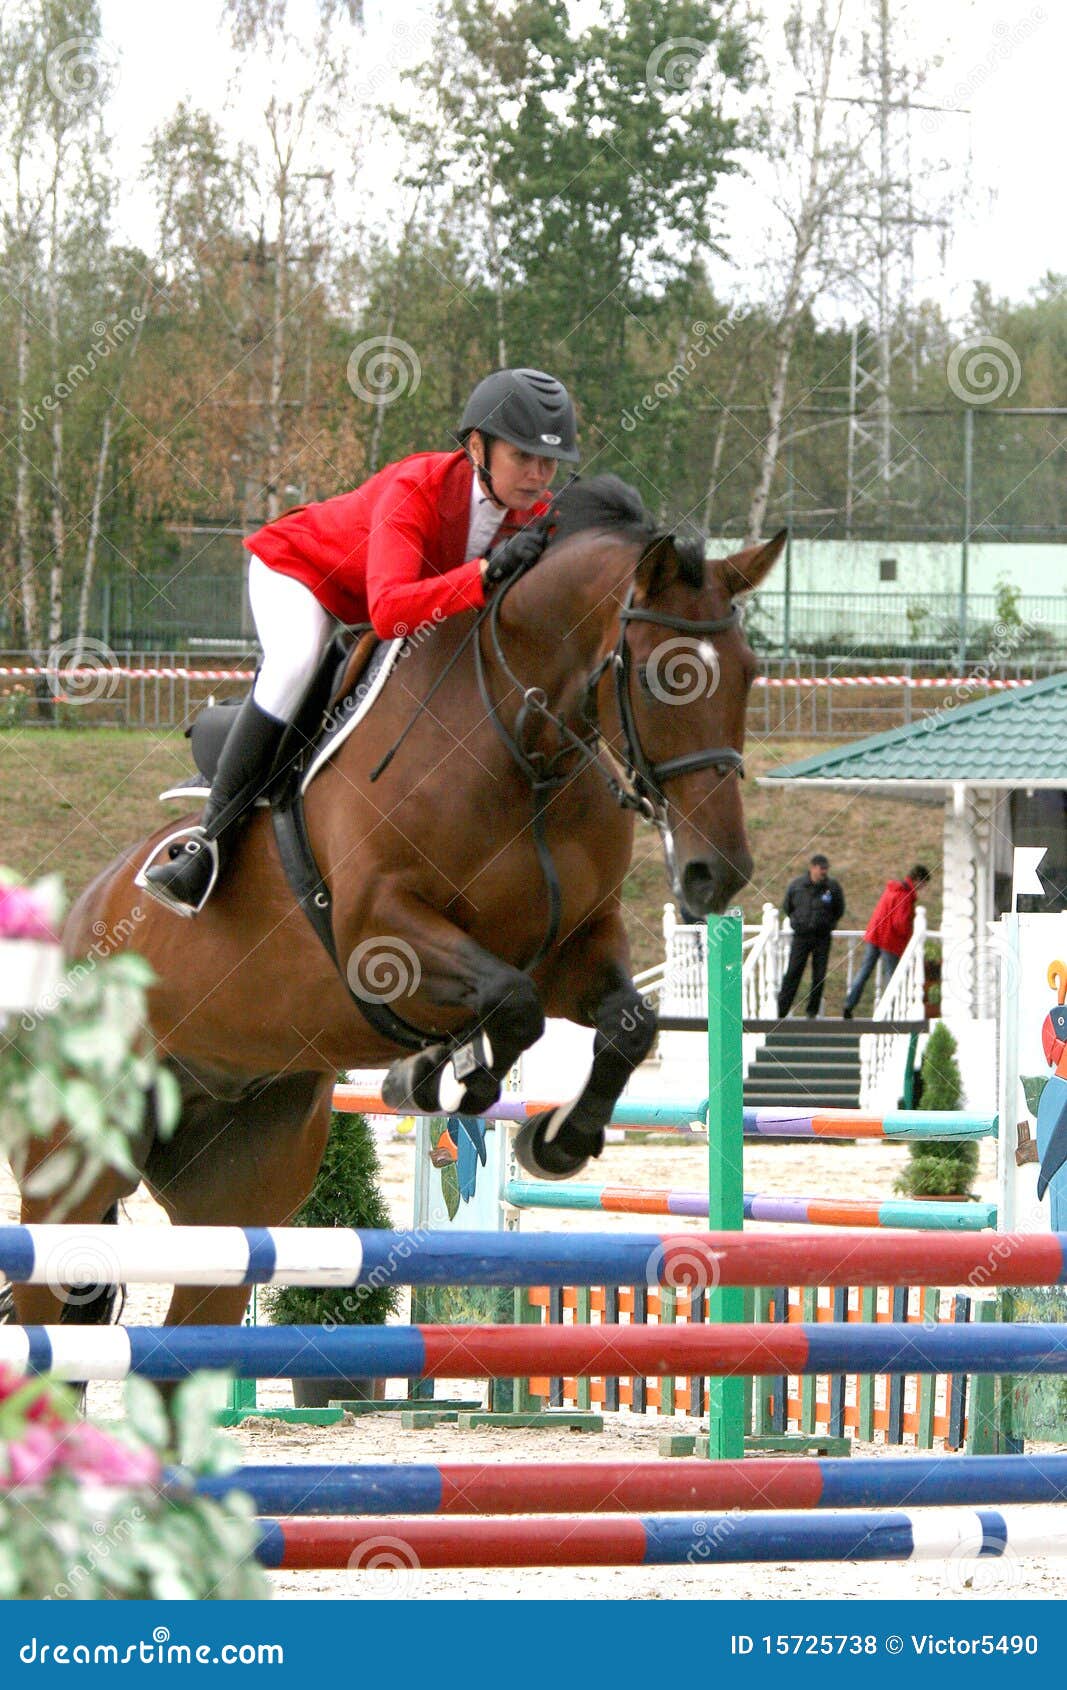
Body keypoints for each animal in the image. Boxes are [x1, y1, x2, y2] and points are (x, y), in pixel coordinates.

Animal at [12, 476, 782, 1334]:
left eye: (748, 672)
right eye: (663, 675)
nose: (716, 874)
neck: (524, 751)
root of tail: (78, 926)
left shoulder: (573, 945)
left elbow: (625, 1023)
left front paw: (555, 1136)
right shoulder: (379, 939)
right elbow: (511, 1006)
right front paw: (435, 1082)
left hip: (236, 1186)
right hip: (69, 1171)